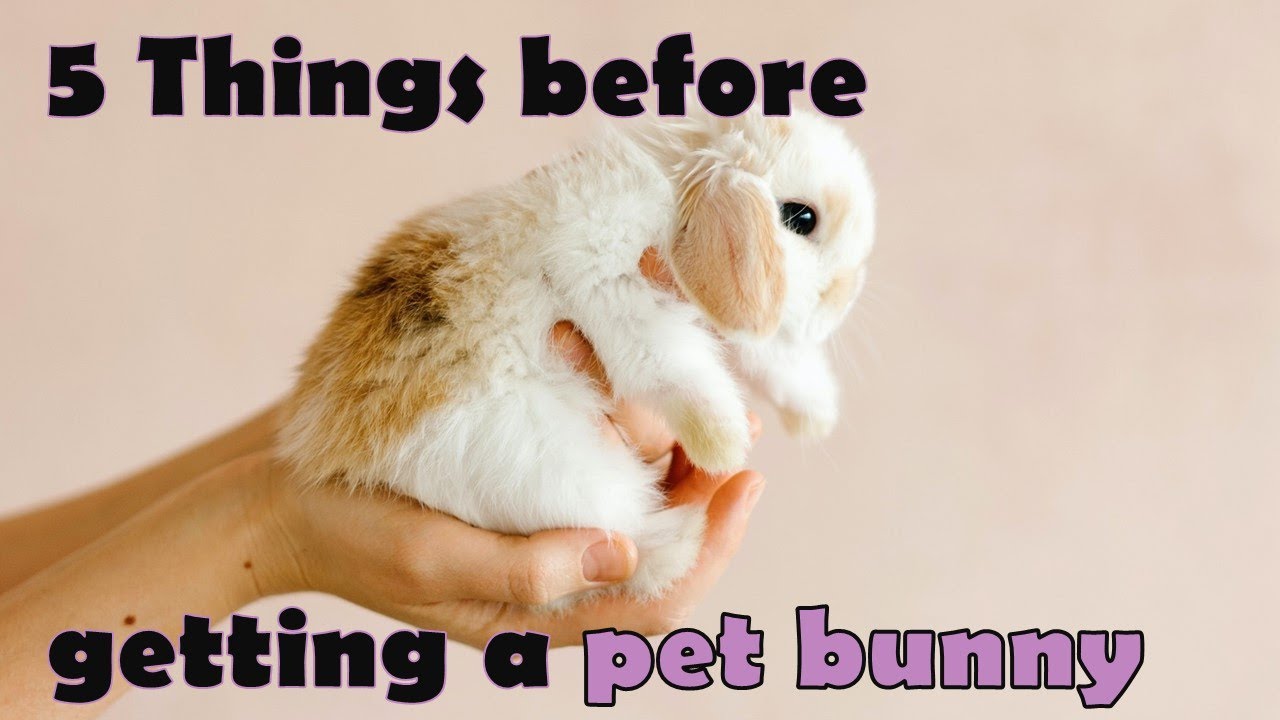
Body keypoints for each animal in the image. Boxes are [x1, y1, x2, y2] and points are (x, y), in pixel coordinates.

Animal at [277, 108, 876, 602]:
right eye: (800, 218)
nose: (845, 299)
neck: (673, 190)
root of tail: (327, 450)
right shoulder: (614, 285)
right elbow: (670, 365)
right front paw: (723, 443)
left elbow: (773, 361)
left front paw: (816, 416)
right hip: (540, 468)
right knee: (623, 524)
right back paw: (680, 541)